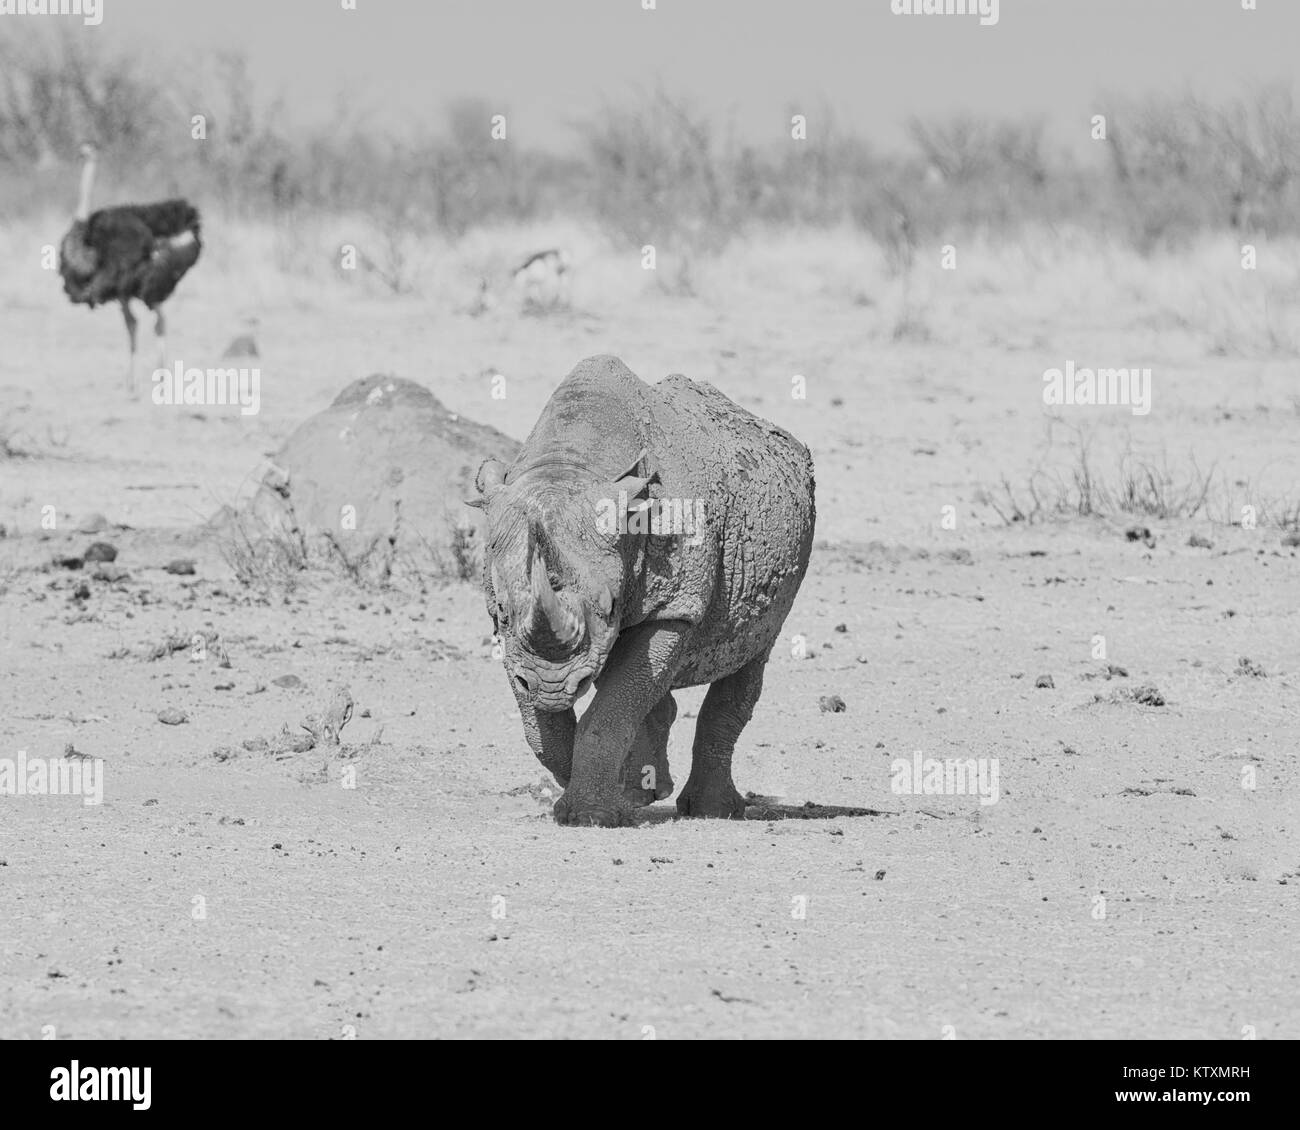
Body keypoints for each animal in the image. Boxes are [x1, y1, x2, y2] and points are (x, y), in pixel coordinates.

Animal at [469, 355, 815, 826]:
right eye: (501, 609)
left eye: (611, 606)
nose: (553, 686)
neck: (573, 466)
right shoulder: (509, 632)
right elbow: (544, 728)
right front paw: (603, 794)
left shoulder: (674, 607)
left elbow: (612, 709)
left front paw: (590, 815)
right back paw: (645, 791)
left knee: (751, 653)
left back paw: (712, 811)